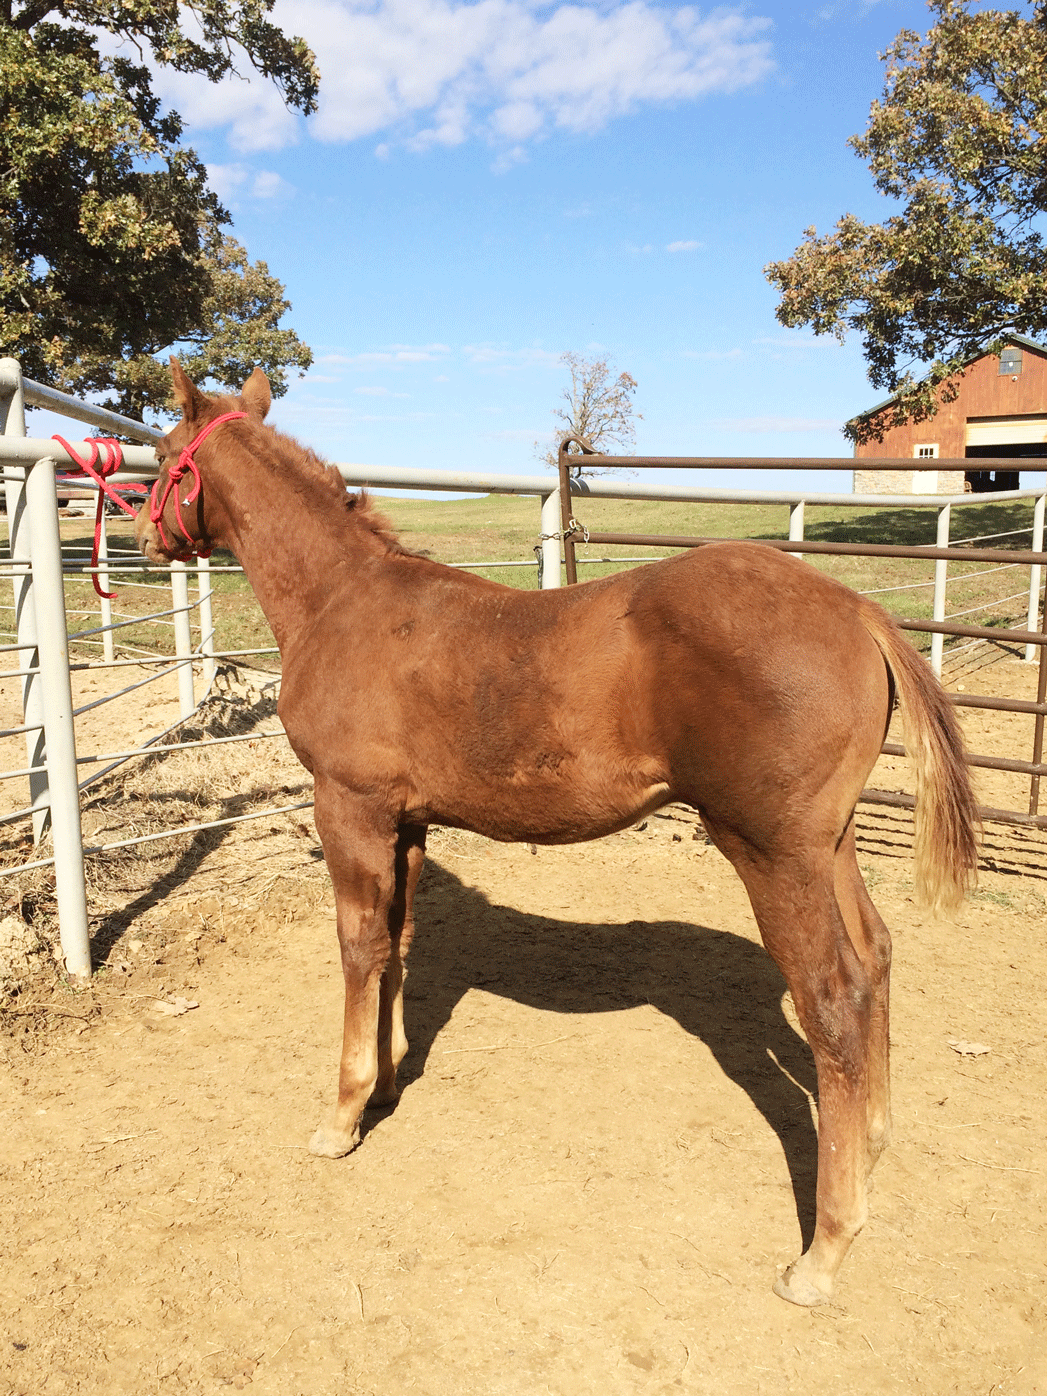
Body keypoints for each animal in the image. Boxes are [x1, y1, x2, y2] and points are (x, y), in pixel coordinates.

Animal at [135, 361, 979, 1307]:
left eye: (162, 458)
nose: (138, 534)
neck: (341, 605)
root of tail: (855, 609)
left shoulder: (348, 808)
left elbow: (358, 945)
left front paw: (342, 1115)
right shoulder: (406, 822)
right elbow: (397, 942)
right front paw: (386, 1084)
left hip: (773, 852)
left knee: (833, 995)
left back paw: (822, 1251)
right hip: (827, 846)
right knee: (874, 959)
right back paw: (869, 1145)